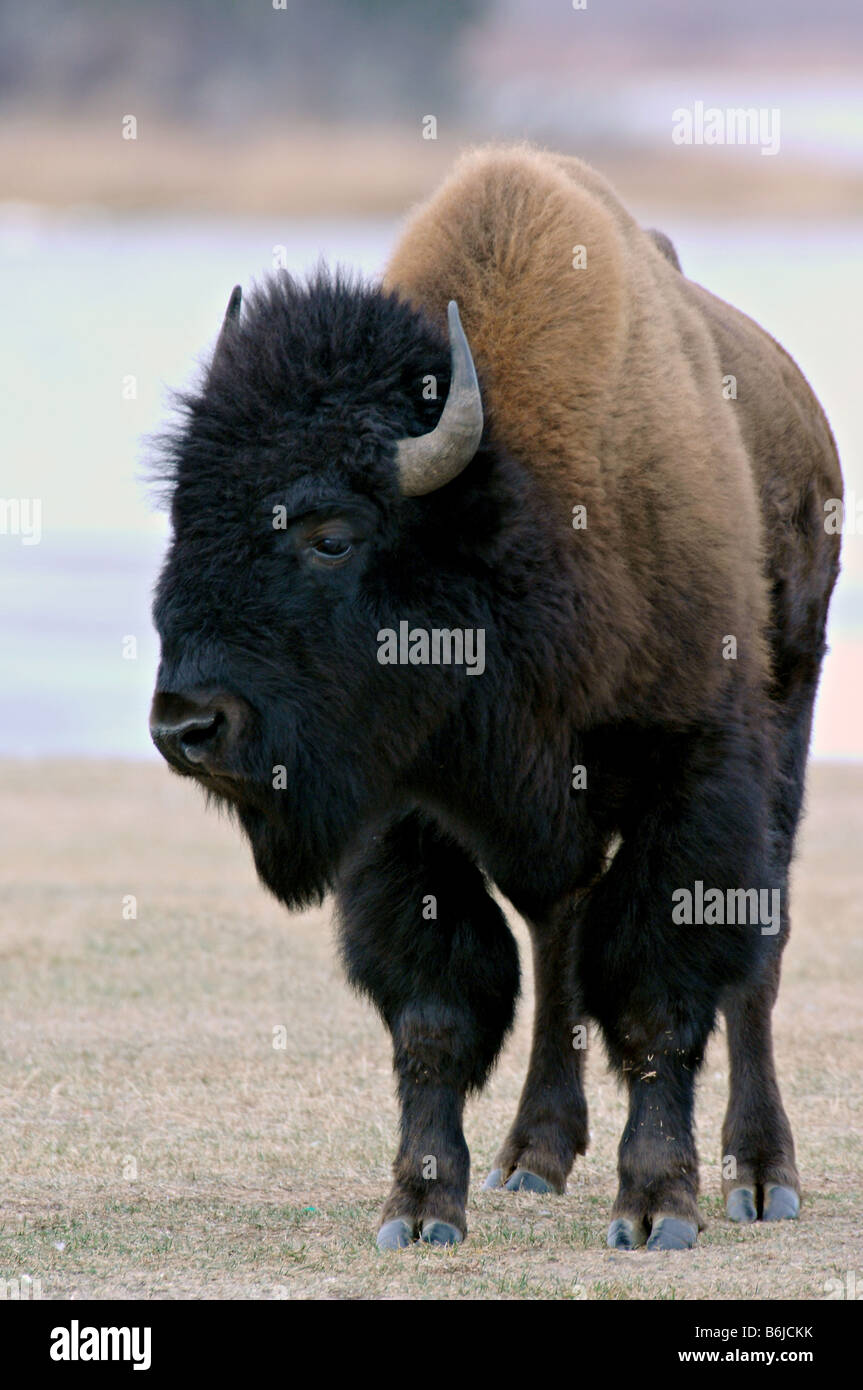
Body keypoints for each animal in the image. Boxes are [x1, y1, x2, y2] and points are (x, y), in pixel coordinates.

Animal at [150, 145, 842, 1251]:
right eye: (182, 519)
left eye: (330, 534)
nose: (188, 726)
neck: (512, 517)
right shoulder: (401, 814)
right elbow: (441, 1005)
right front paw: (420, 1205)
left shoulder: (688, 779)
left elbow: (656, 993)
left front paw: (657, 1205)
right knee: (557, 936)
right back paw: (535, 1155)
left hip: (790, 711)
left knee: (753, 951)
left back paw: (760, 1172)